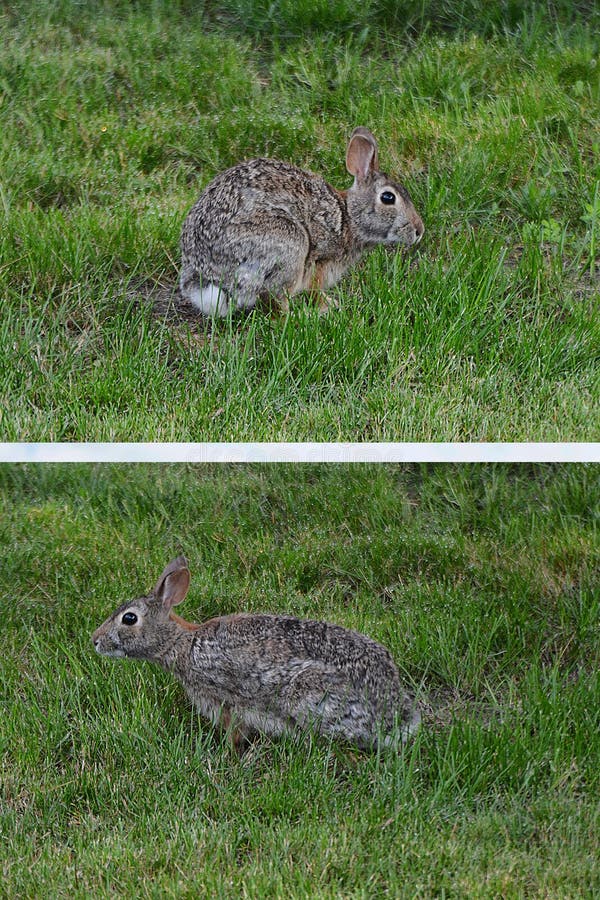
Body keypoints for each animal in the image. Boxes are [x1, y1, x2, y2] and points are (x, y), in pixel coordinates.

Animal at [92, 555, 421, 752]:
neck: (182, 643)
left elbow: (235, 730)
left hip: (309, 695)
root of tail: (392, 712)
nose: (94, 640)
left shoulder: (225, 700)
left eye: (129, 619)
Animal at [179, 127, 424, 316]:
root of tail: (207, 273)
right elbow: (315, 290)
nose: (419, 230)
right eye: (388, 198)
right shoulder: (319, 261)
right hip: (289, 244)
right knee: (276, 301)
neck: (348, 217)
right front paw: (327, 306)